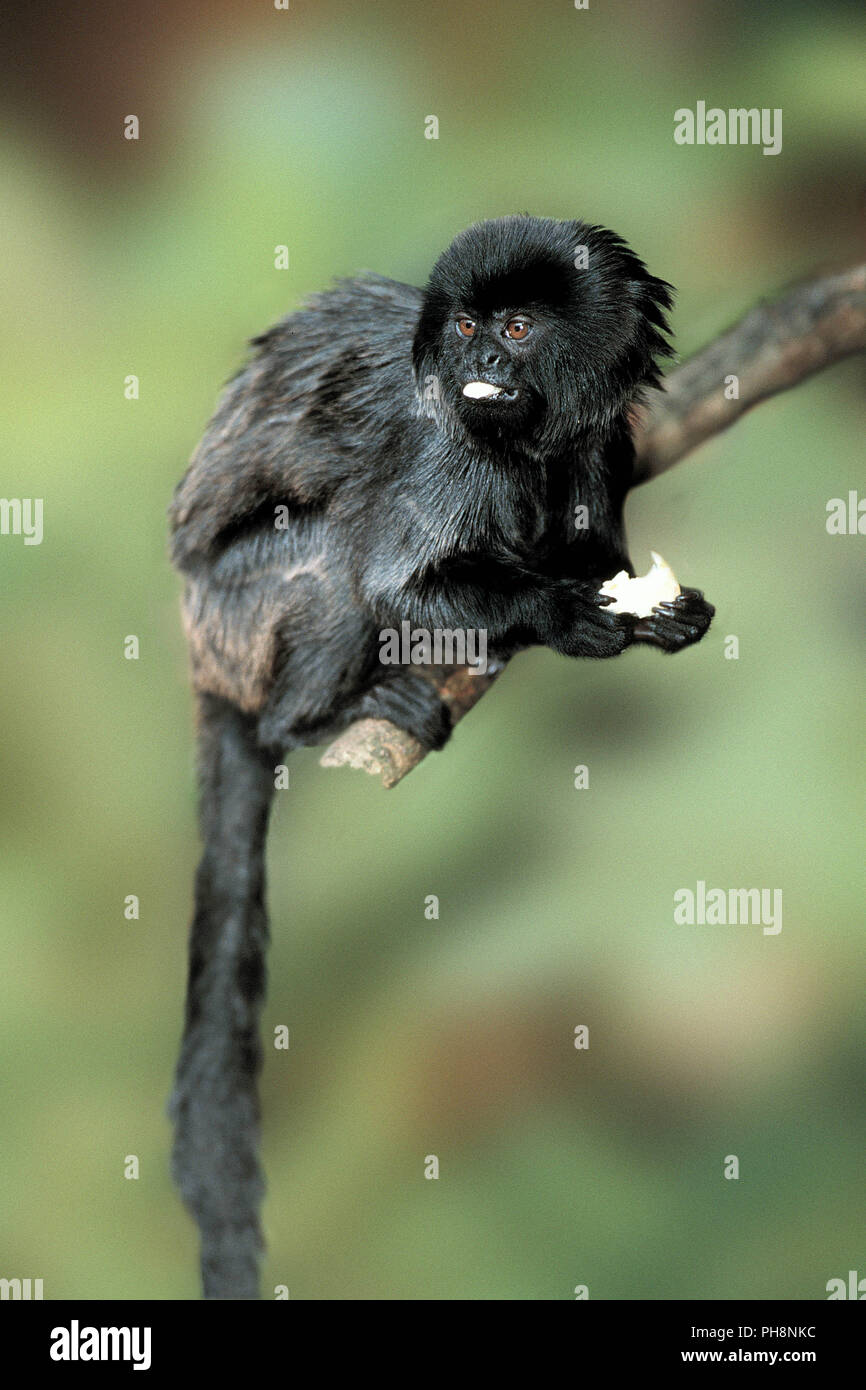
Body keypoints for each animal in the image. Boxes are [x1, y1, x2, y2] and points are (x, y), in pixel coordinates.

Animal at [167, 214, 714, 1299]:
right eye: (466, 328)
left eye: (515, 328)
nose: (478, 368)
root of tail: (204, 658)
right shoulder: (449, 456)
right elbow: (392, 578)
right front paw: (562, 615)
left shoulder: (603, 439)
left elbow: (593, 532)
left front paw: (634, 609)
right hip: (239, 612)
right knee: (334, 560)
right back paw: (317, 714)